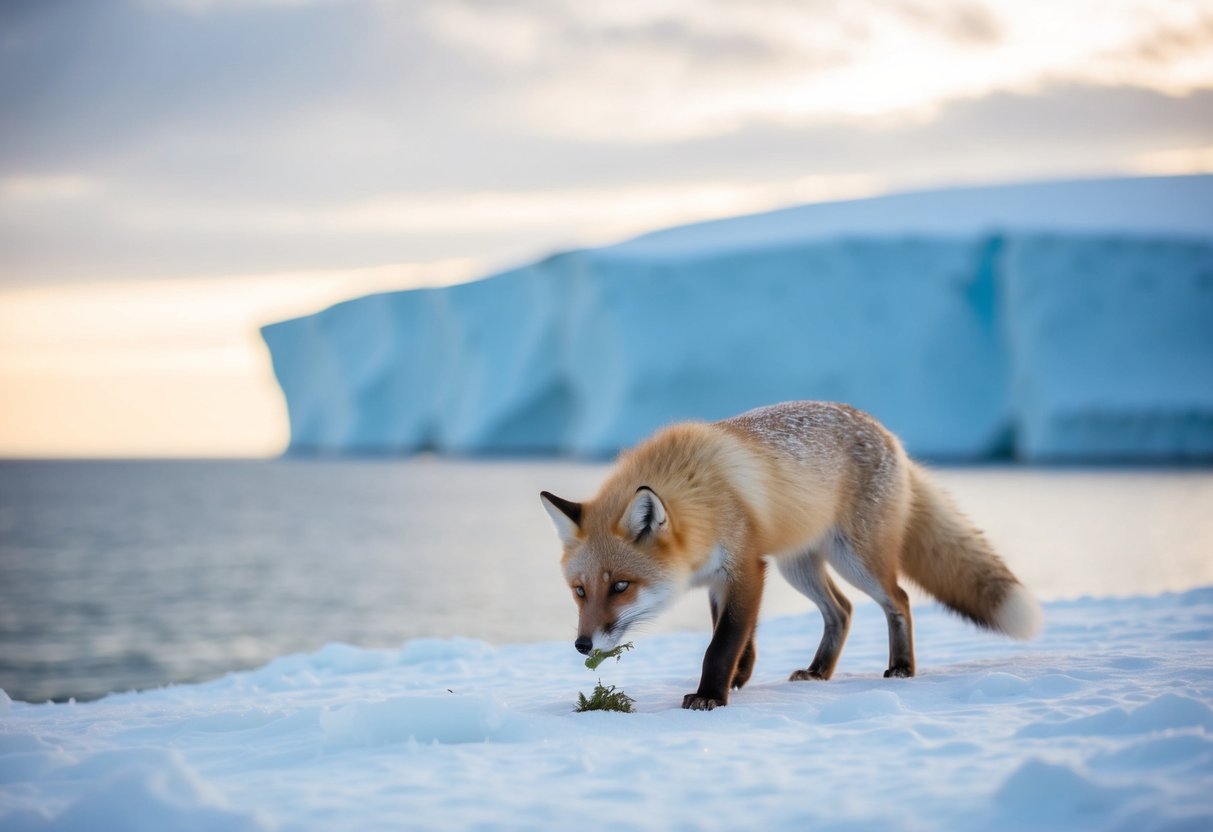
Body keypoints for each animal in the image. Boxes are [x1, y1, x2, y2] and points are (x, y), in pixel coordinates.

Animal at [540, 401, 1042, 710]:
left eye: (621, 586)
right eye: (580, 590)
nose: (582, 645)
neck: (697, 492)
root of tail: (889, 435)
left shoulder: (747, 566)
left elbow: (721, 643)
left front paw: (711, 695)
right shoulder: (723, 578)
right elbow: (738, 636)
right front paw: (739, 679)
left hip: (856, 560)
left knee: (897, 600)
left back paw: (901, 667)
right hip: (799, 566)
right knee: (842, 610)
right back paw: (819, 671)